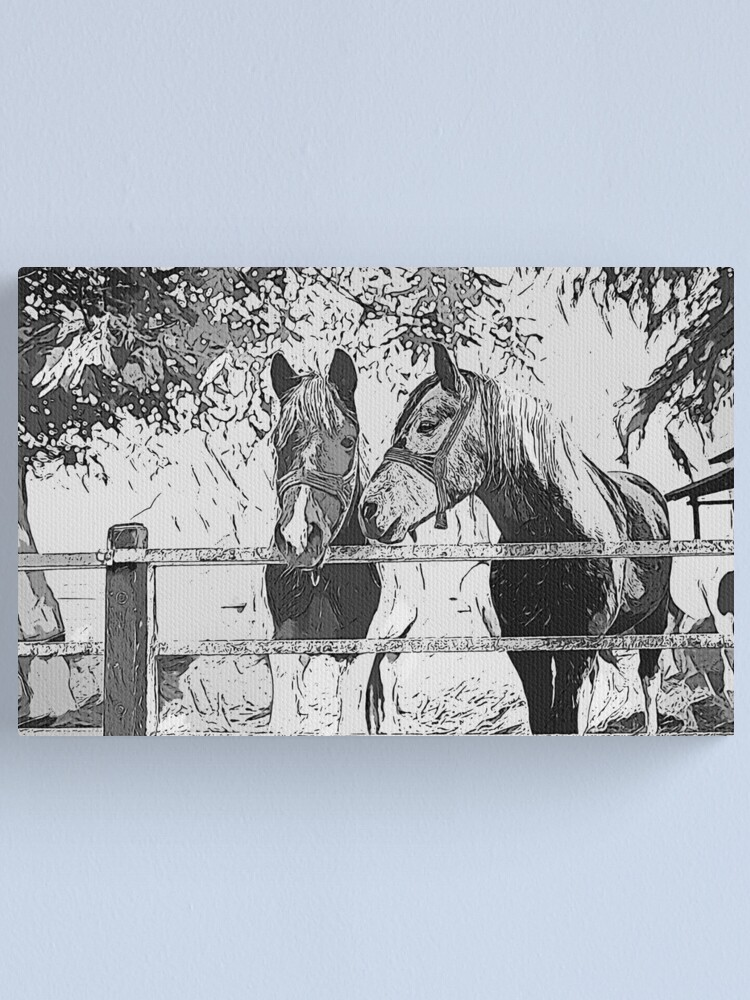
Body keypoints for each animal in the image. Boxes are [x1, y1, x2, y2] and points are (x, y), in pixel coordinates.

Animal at [266, 349, 381, 734]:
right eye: (277, 441)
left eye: (348, 440)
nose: (299, 537)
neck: (319, 578)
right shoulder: (284, 639)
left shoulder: (359, 645)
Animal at [359, 344, 672, 735]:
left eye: (426, 425)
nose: (369, 510)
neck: (554, 540)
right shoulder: (525, 650)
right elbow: (543, 720)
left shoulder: (576, 649)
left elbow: (565, 720)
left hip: (654, 621)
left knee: (649, 680)